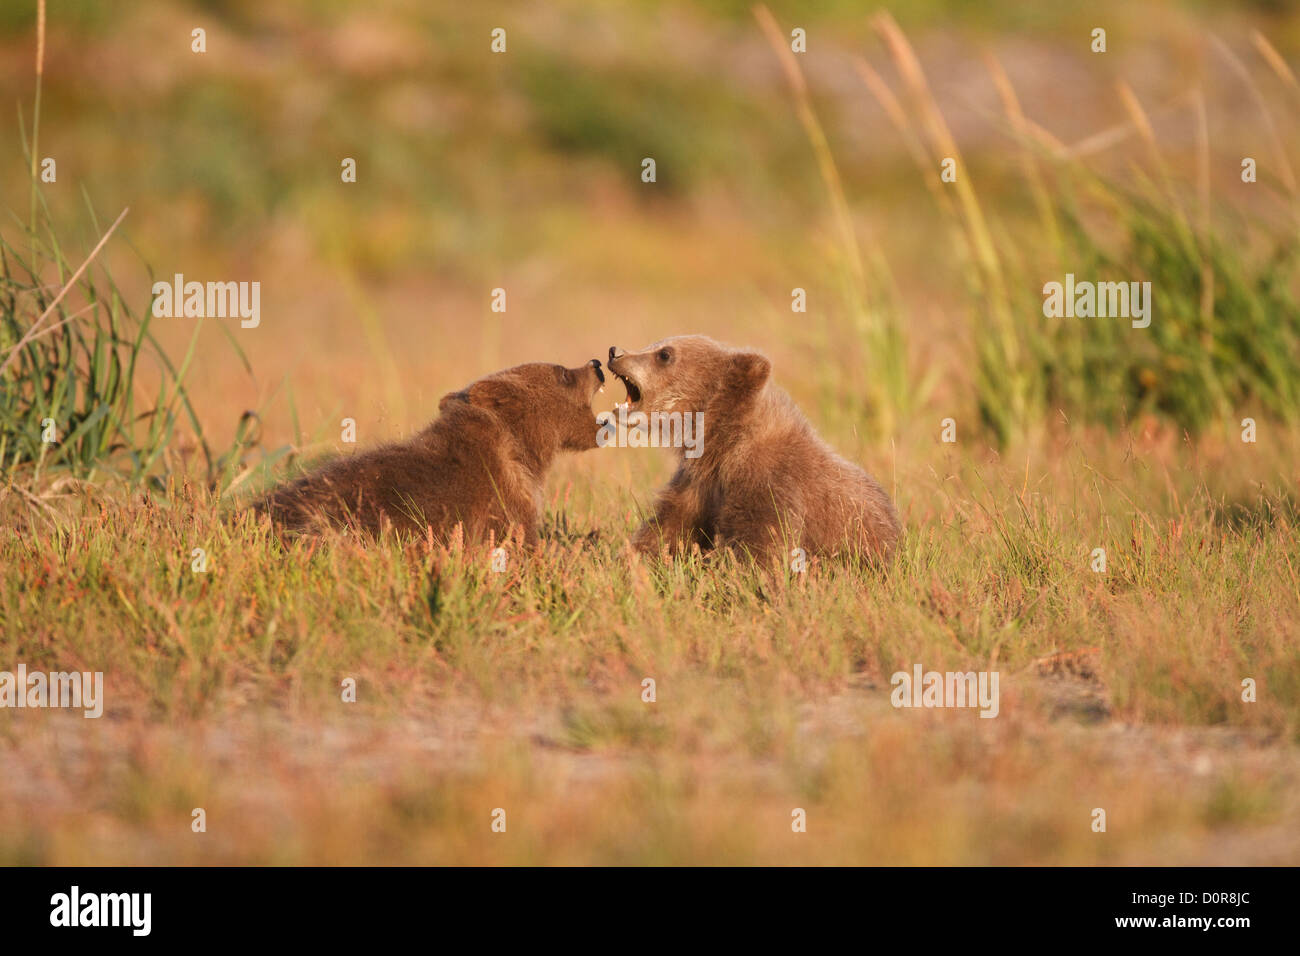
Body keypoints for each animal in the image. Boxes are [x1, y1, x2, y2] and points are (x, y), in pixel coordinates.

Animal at [604, 336, 900, 566]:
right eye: (654, 345)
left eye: (664, 354)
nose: (615, 352)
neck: (722, 446)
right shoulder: (697, 485)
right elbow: (665, 530)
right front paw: (626, 561)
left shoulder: (772, 484)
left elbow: (763, 547)